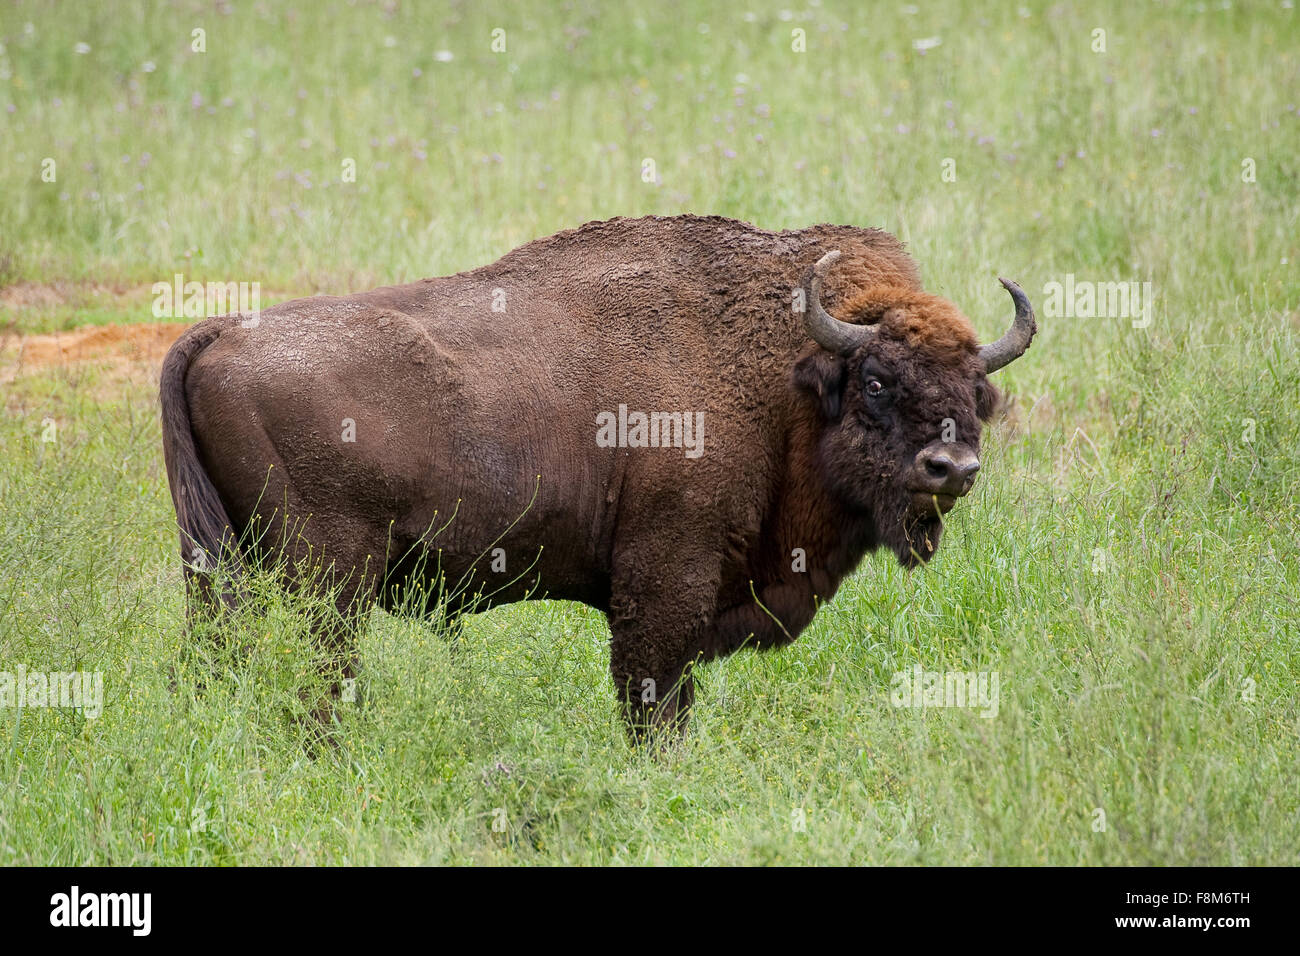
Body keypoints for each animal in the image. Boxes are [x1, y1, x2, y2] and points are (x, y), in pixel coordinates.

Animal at [160, 214, 1036, 739]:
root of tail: (219, 335)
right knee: (314, 675)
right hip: (324, 581)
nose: (952, 469)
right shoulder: (665, 583)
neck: (782, 378)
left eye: (977, 391)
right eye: (878, 380)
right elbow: (650, 699)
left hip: (222, 571)